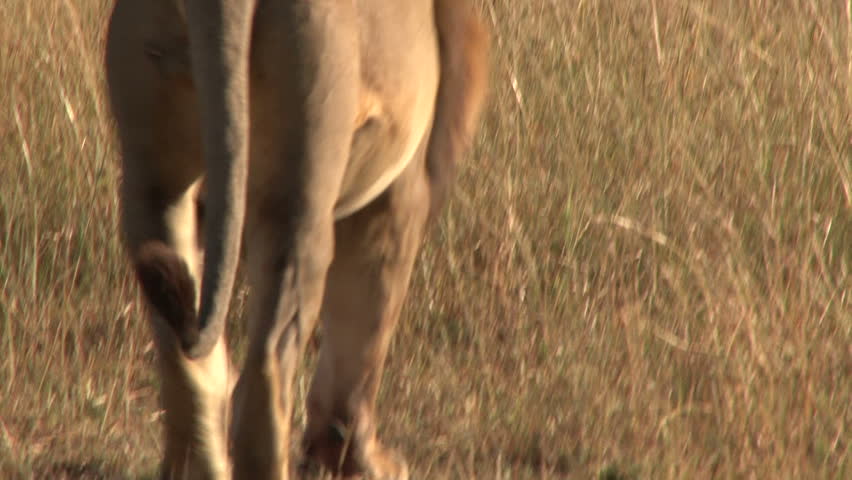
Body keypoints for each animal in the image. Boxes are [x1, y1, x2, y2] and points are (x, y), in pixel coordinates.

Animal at [105, 0, 488, 478]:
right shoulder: (404, 190)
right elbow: (365, 334)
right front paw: (362, 462)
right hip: (304, 160)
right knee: (270, 356)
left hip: (154, 181)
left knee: (177, 334)